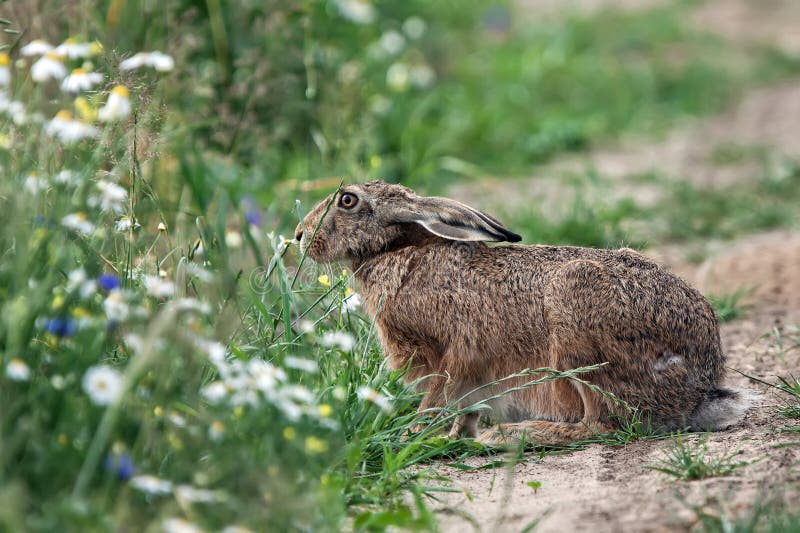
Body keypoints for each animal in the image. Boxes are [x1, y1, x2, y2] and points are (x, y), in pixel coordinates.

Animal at [295, 180, 750, 446]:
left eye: (347, 200)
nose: (299, 236)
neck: (396, 251)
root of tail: (699, 387)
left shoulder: (453, 354)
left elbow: (439, 397)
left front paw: (417, 433)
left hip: (575, 319)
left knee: (603, 426)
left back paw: (510, 435)